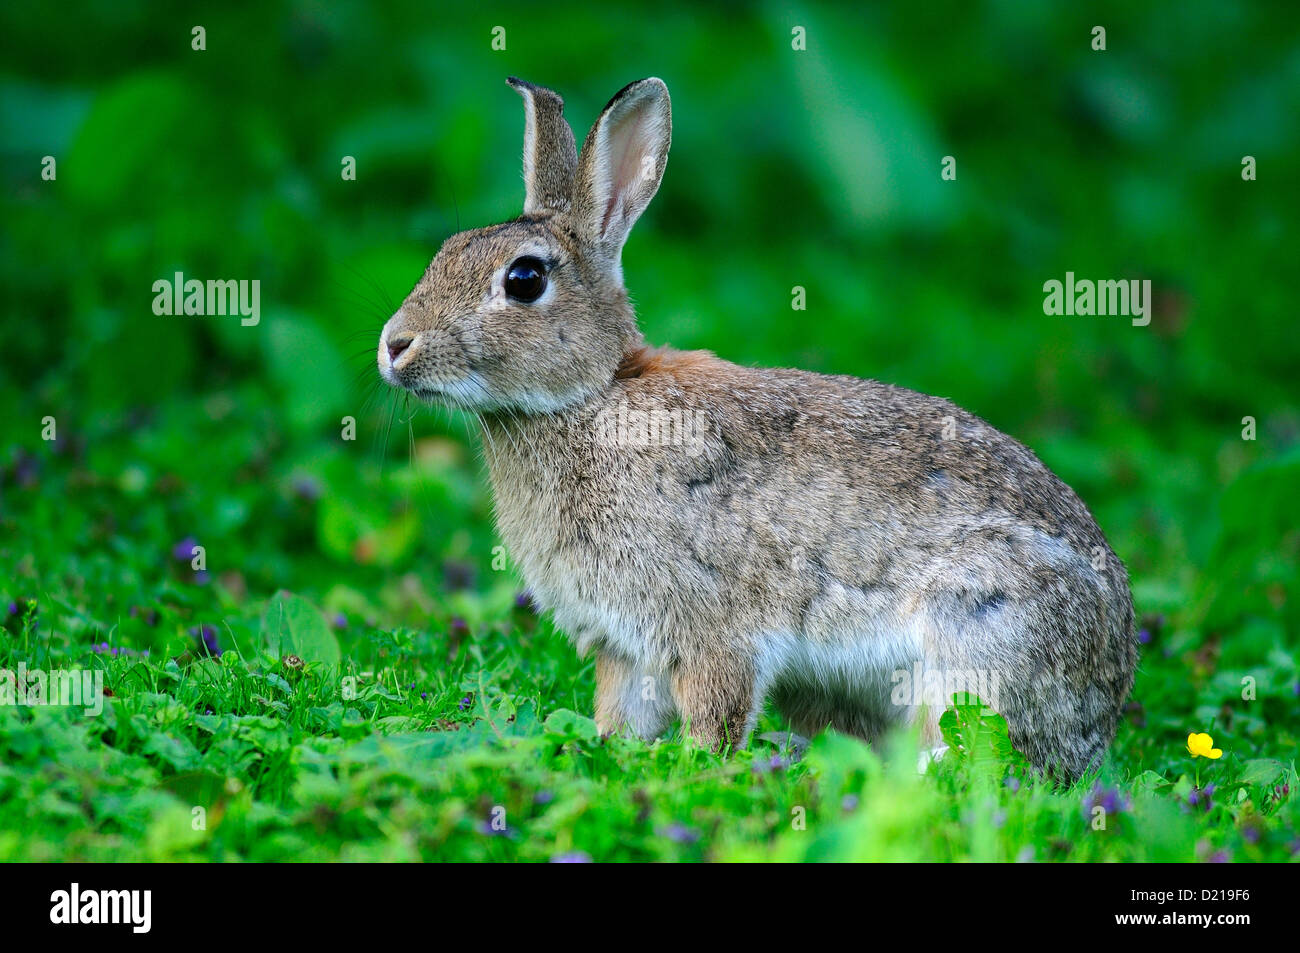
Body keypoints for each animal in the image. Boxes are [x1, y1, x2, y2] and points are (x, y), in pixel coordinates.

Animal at [377, 77, 1137, 780]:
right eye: (447, 248)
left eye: (525, 279)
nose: (394, 345)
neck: (588, 397)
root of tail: (1105, 698)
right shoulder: (626, 649)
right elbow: (621, 714)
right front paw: (611, 753)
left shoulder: (710, 629)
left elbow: (716, 710)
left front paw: (695, 767)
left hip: (976, 641)